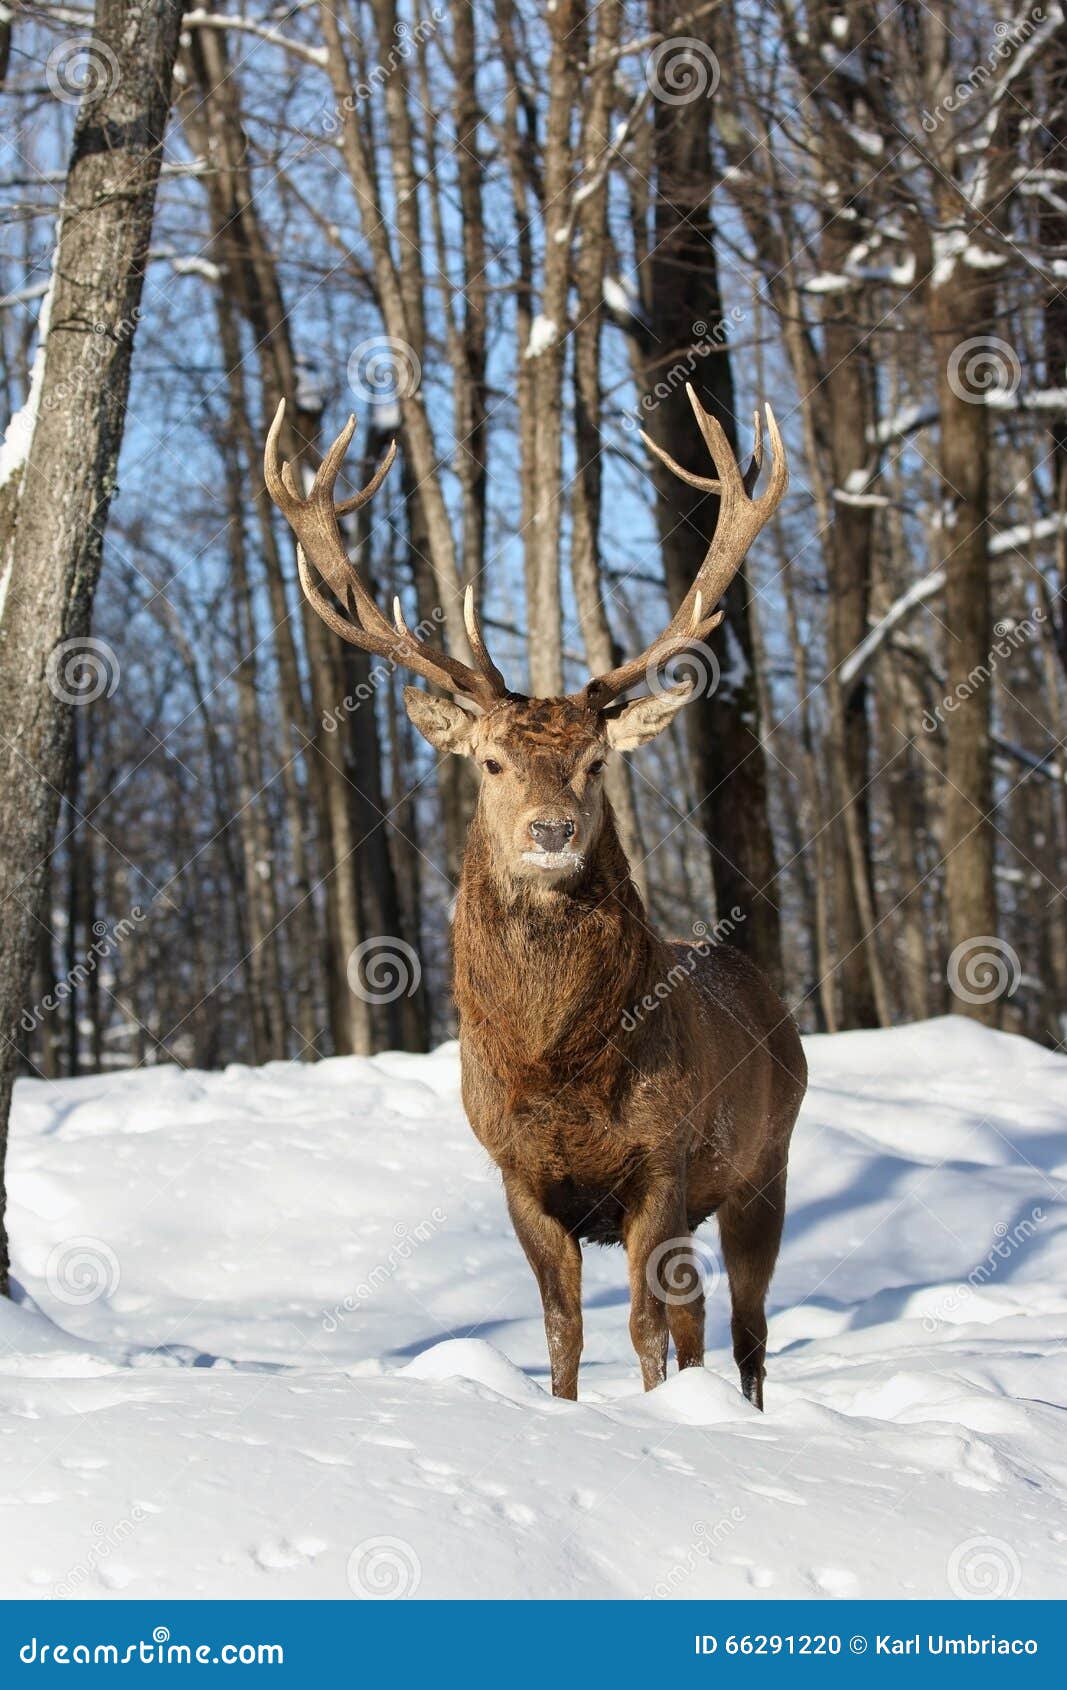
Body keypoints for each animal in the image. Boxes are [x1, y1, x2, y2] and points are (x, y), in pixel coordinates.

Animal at [264, 384, 807, 1408]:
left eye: (595, 762)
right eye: (491, 761)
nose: (551, 830)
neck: (555, 1071)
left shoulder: (661, 1160)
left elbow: (640, 1325)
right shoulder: (515, 1171)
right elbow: (562, 1331)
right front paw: (563, 1415)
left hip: (767, 1161)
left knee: (746, 1325)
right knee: (704, 1317)